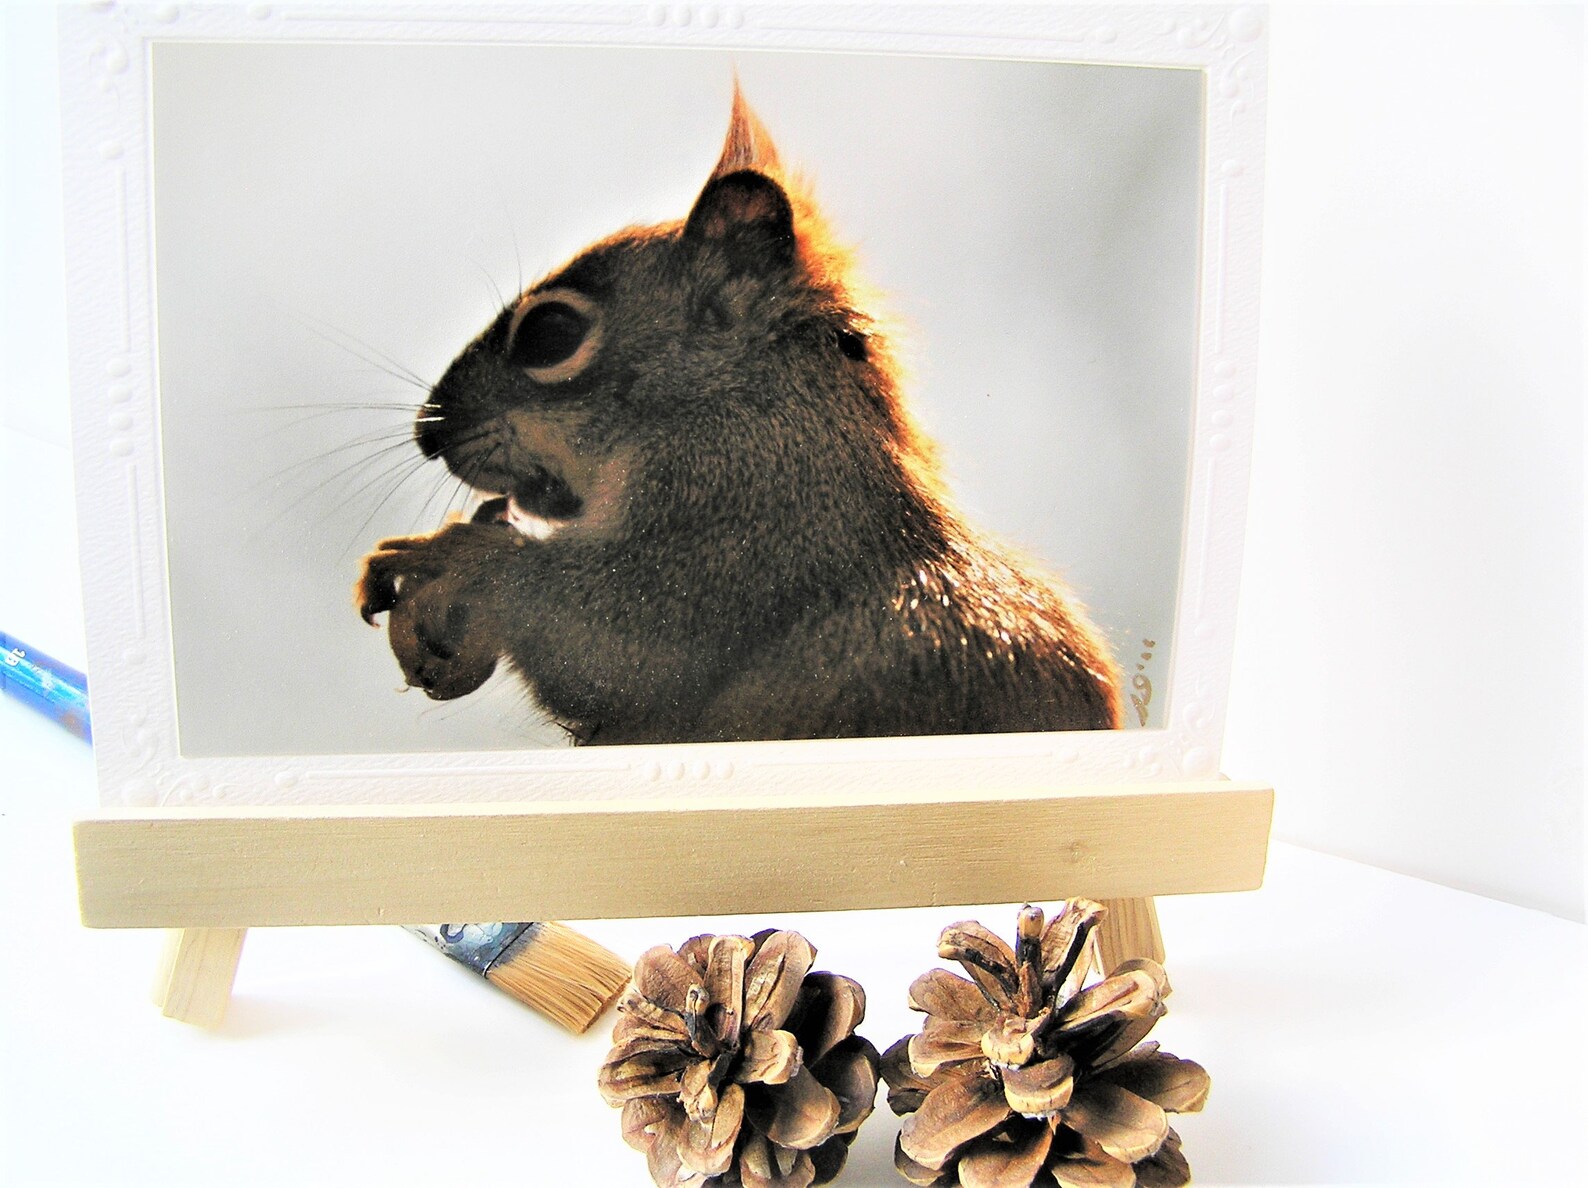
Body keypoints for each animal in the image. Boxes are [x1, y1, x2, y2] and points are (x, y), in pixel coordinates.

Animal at [355, 86, 1123, 745]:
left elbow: (615, 641)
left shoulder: (745, 523)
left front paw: (453, 556)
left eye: (549, 335)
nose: (428, 434)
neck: (744, 403)